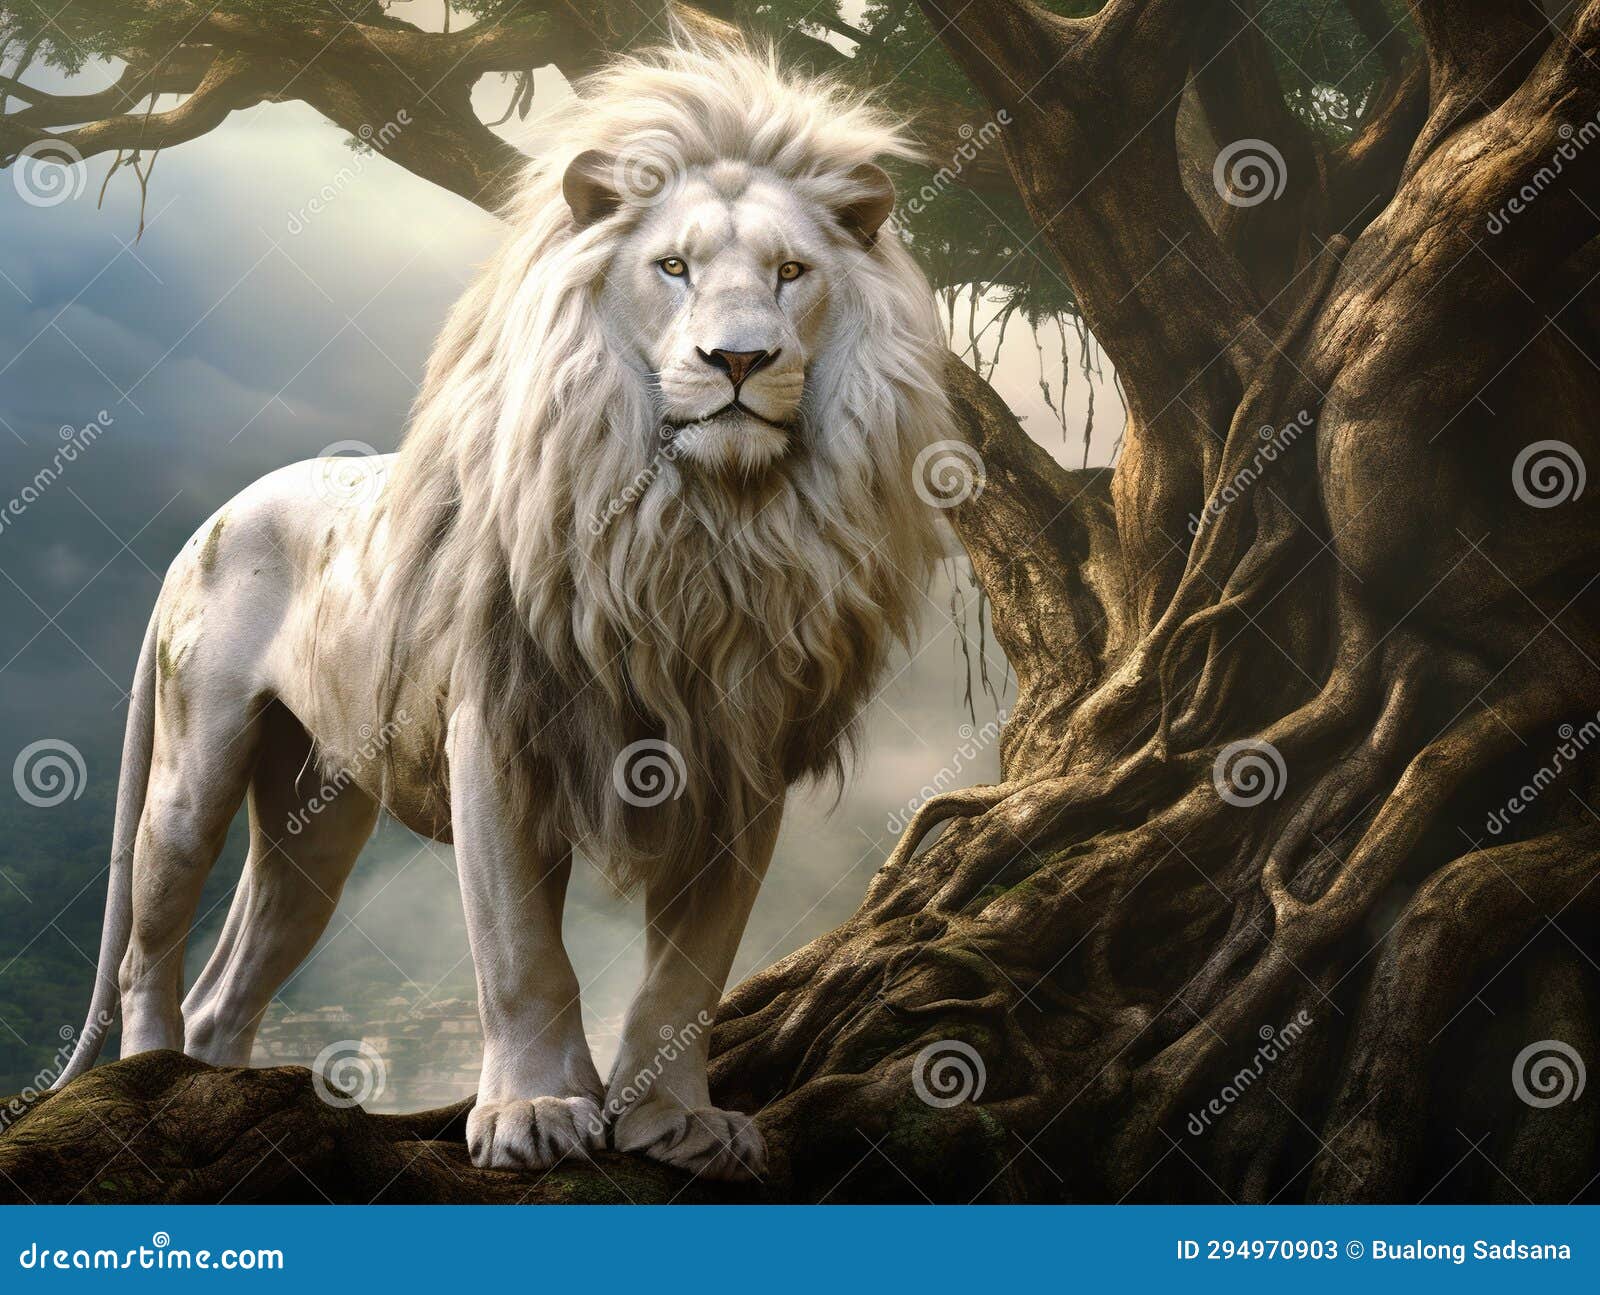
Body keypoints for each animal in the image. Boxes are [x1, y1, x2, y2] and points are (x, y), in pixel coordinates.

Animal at [53, 42, 955, 1181]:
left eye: (792, 273)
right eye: (673, 268)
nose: (740, 360)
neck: (698, 526)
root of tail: (215, 511)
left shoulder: (741, 753)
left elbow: (691, 967)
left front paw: (677, 1121)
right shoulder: (497, 728)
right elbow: (522, 949)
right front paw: (534, 1111)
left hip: (315, 814)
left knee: (233, 980)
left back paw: (219, 1091)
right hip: (191, 769)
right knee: (148, 948)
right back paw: (147, 1082)